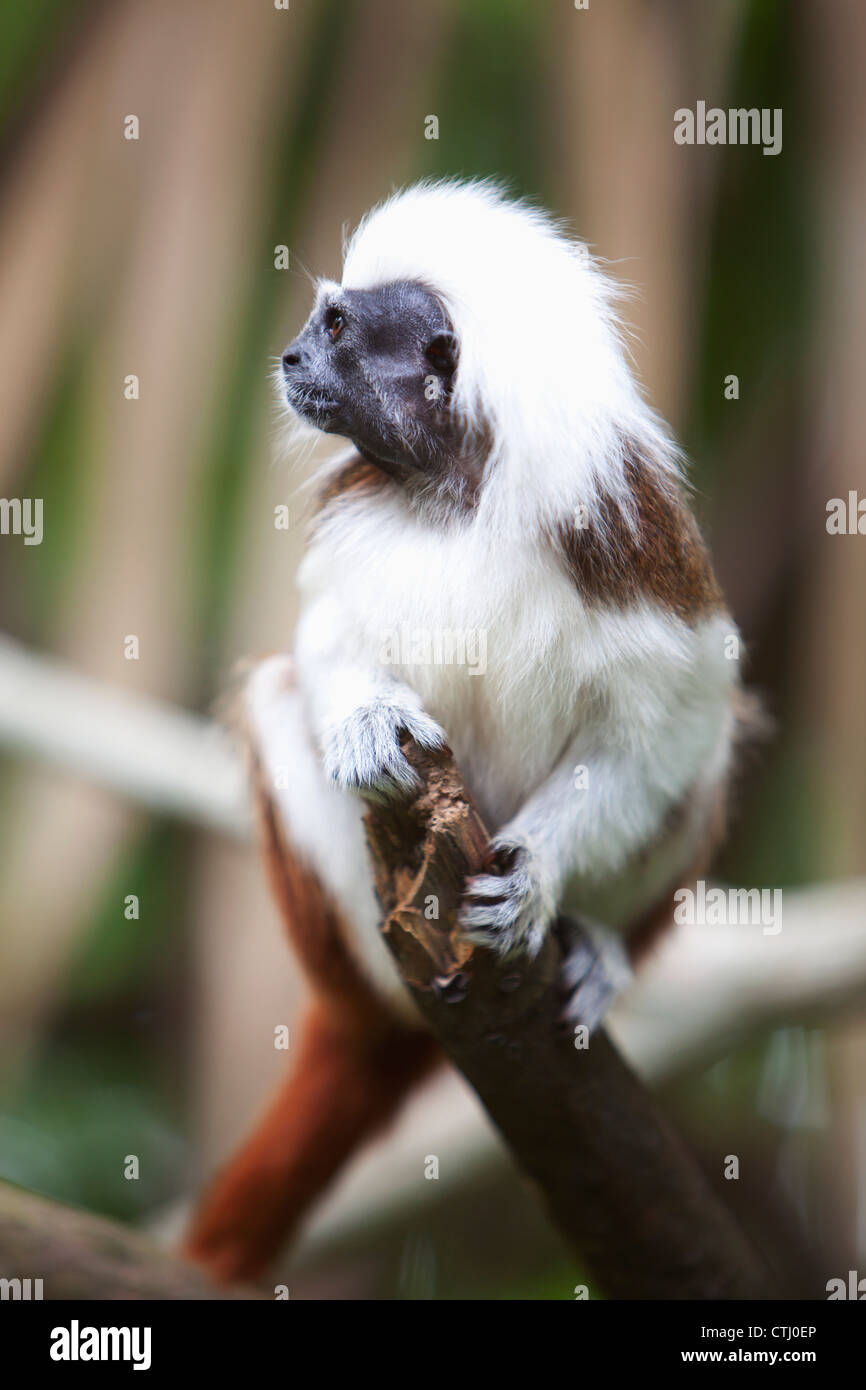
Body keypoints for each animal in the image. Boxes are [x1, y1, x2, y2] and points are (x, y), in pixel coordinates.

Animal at [184, 179, 755, 1283]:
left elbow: (668, 725)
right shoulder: (355, 522)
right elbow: (325, 642)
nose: (287, 359)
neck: (458, 486)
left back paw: (590, 943)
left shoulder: (631, 543)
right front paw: (365, 723)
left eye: (335, 329)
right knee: (277, 700)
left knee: (701, 767)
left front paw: (537, 876)